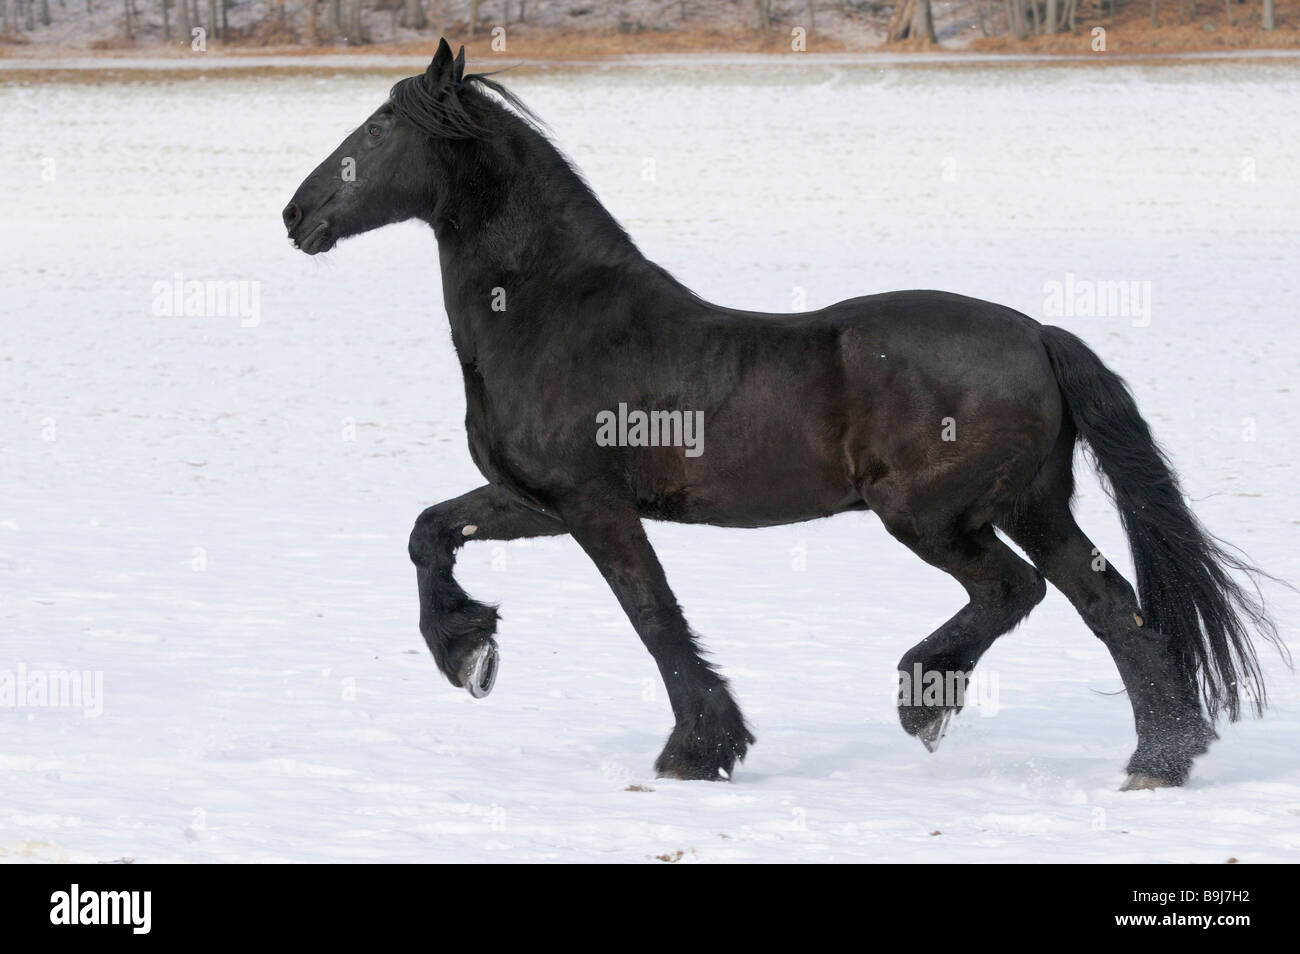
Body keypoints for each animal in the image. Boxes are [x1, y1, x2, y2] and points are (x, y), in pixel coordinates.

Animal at [284, 40, 1283, 789]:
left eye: (379, 126)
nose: (297, 216)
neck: (558, 313)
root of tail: (1037, 334)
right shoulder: (536, 501)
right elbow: (429, 531)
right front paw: (468, 652)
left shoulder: (596, 507)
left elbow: (652, 615)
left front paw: (698, 750)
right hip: (1030, 505)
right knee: (1109, 606)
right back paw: (1159, 760)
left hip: (930, 513)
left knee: (1014, 590)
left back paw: (926, 699)